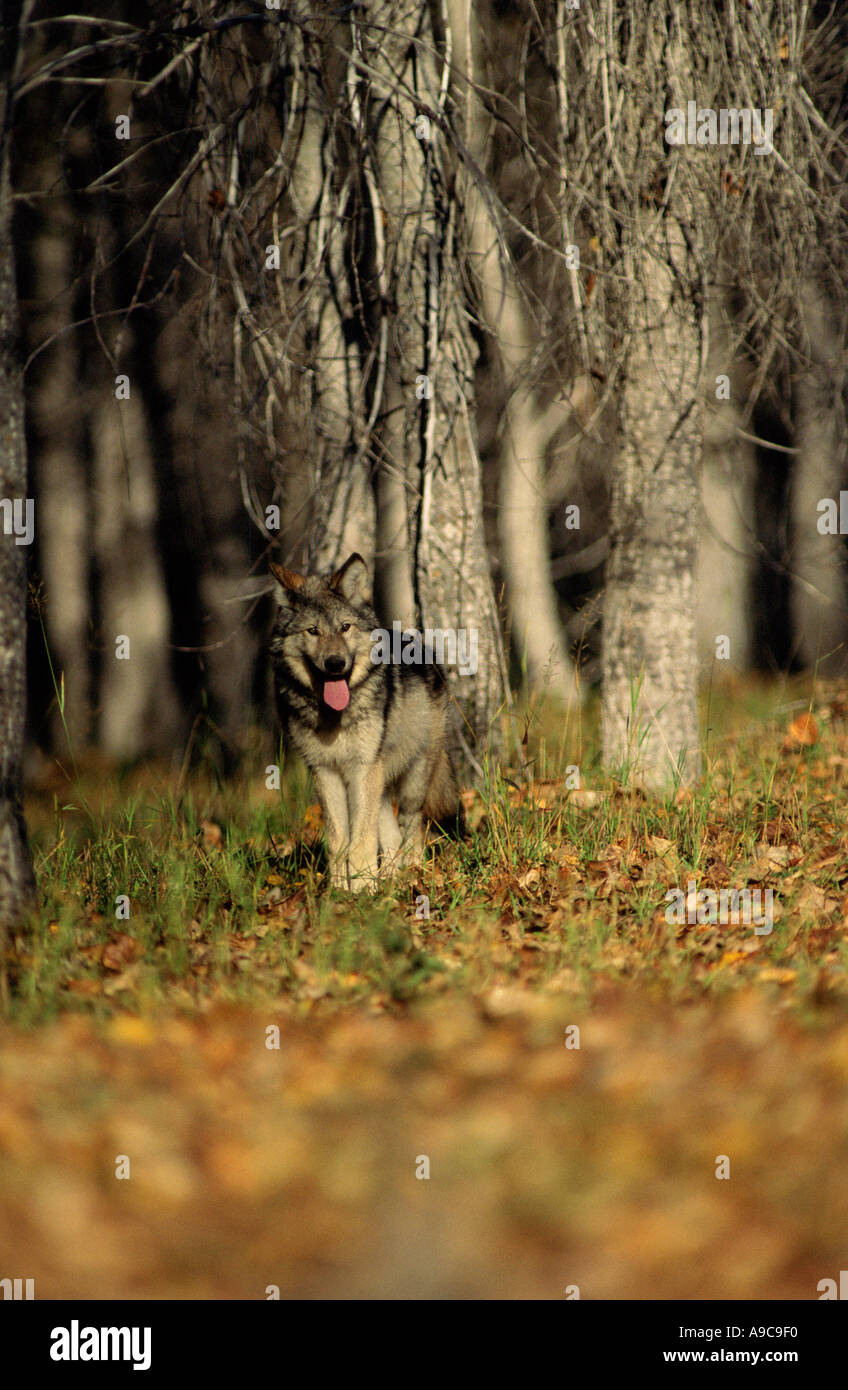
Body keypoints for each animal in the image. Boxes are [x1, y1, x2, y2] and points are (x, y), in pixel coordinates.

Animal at [269, 552, 458, 889]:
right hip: (380, 783)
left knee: (412, 827)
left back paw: (412, 875)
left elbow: (361, 839)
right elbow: (338, 840)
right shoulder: (325, 771)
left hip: (411, 779)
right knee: (392, 835)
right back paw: (393, 878)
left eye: (345, 627)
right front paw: (339, 889)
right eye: (312, 631)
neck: (333, 715)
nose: (335, 663)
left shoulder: (362, 768)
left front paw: (362, 890)